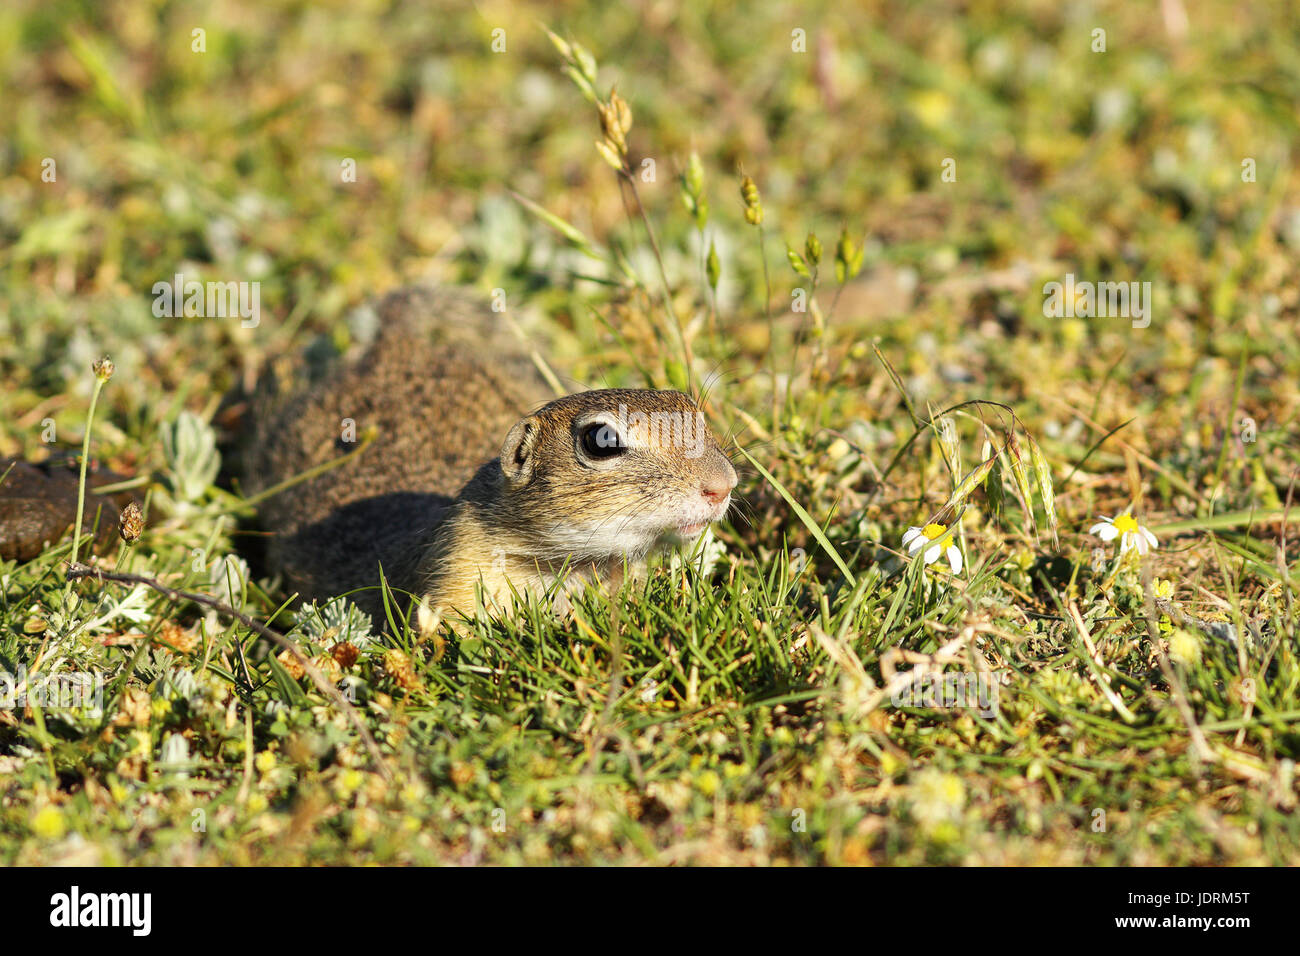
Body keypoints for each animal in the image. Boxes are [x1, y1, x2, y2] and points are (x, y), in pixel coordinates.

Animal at [240, 286, 737, 626]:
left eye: (692, 409)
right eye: (601, 439)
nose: (723, 486)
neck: (565, 563)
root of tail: (394, 343)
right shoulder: (455, 577)